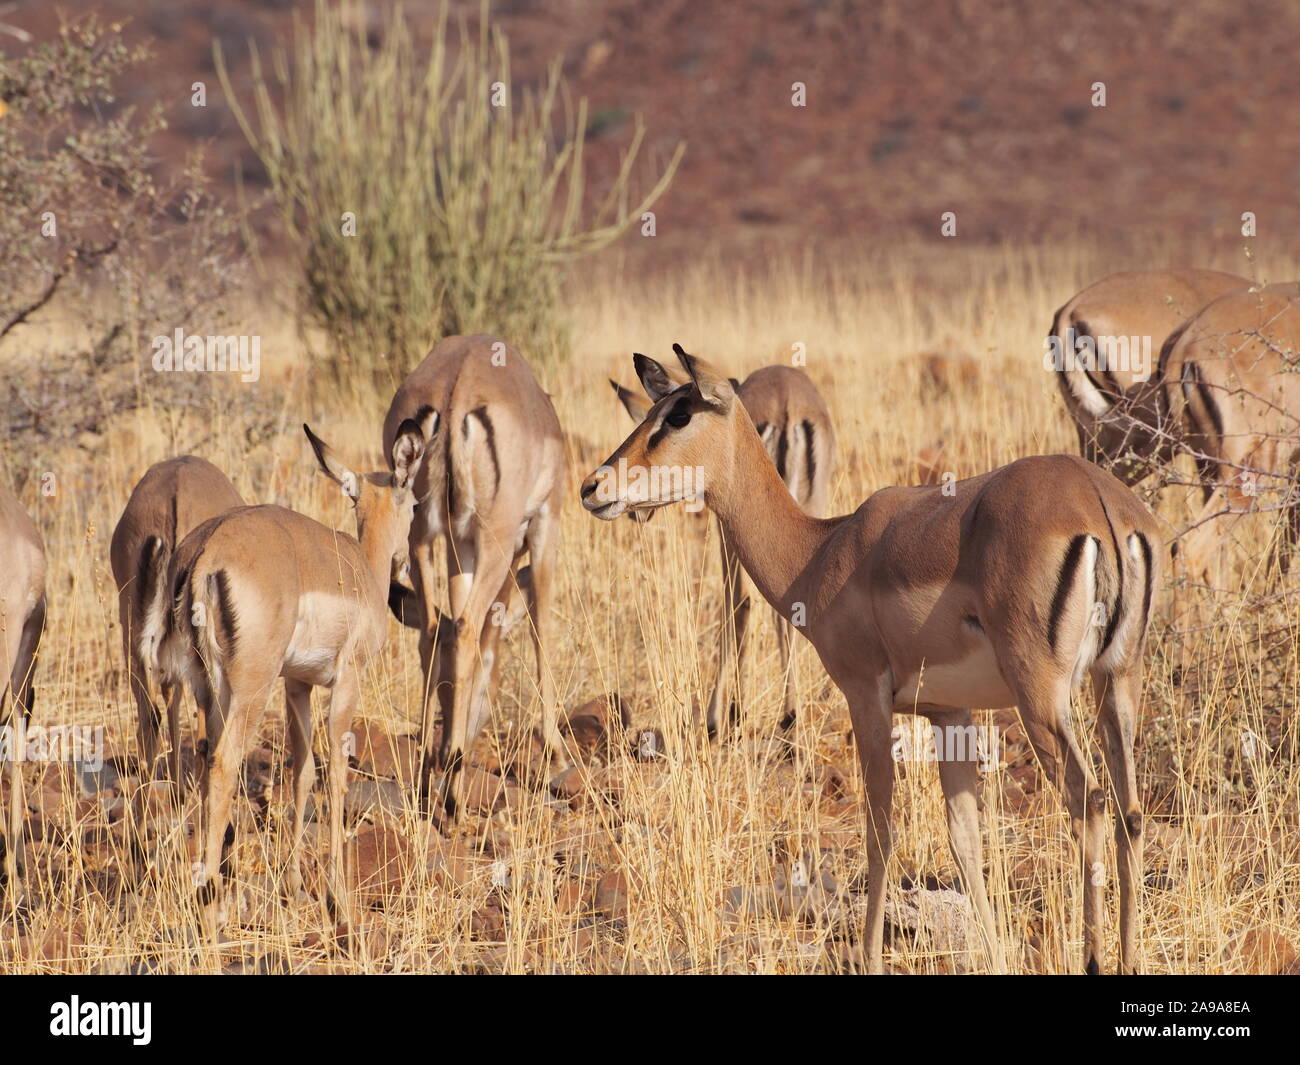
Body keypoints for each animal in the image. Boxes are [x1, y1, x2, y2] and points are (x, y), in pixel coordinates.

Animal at [155, 421, 426, 926]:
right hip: (250, 691)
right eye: (416, 504)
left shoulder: (297, 685)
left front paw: (298, 888)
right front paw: (338, 897)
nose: (404, 566)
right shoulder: (346, 682)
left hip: (209, 688)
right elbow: (336, 771)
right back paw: (212, 904)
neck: (359, 567)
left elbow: (302, 773)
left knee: (202, 758)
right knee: (223, 764)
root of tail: (206, 553)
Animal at [382, 334, 567, 819]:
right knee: (466, 630)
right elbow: (541, 631)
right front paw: (557, 754)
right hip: (494, 537)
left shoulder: (458, 546)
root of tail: (457, 389)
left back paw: (429, 774)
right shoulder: (544, 525)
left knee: (434, 632)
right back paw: (453, 792)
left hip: (421, 534)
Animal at [611, 364, 836, 735]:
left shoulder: (725, 529)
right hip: (810, 506)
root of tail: (787, 404)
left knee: (744, 605)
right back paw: (797, 708)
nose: (634, 513)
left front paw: (723, 714)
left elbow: (736, 606)